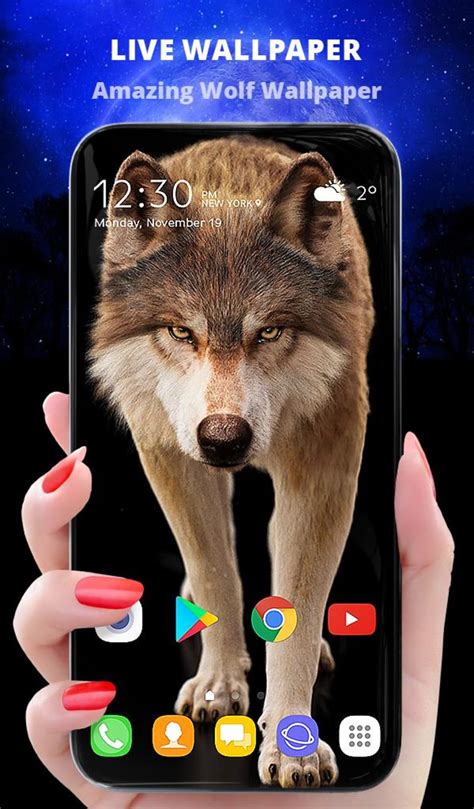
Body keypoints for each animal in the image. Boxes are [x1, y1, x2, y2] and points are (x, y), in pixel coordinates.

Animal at [90, 134, 374, 788]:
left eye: (268, 333)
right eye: (180, 332)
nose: (224, 440)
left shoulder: (322, 474)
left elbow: (297, 612)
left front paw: (293, 744)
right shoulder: (174, 460)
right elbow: (218, 574)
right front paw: (220, 686)